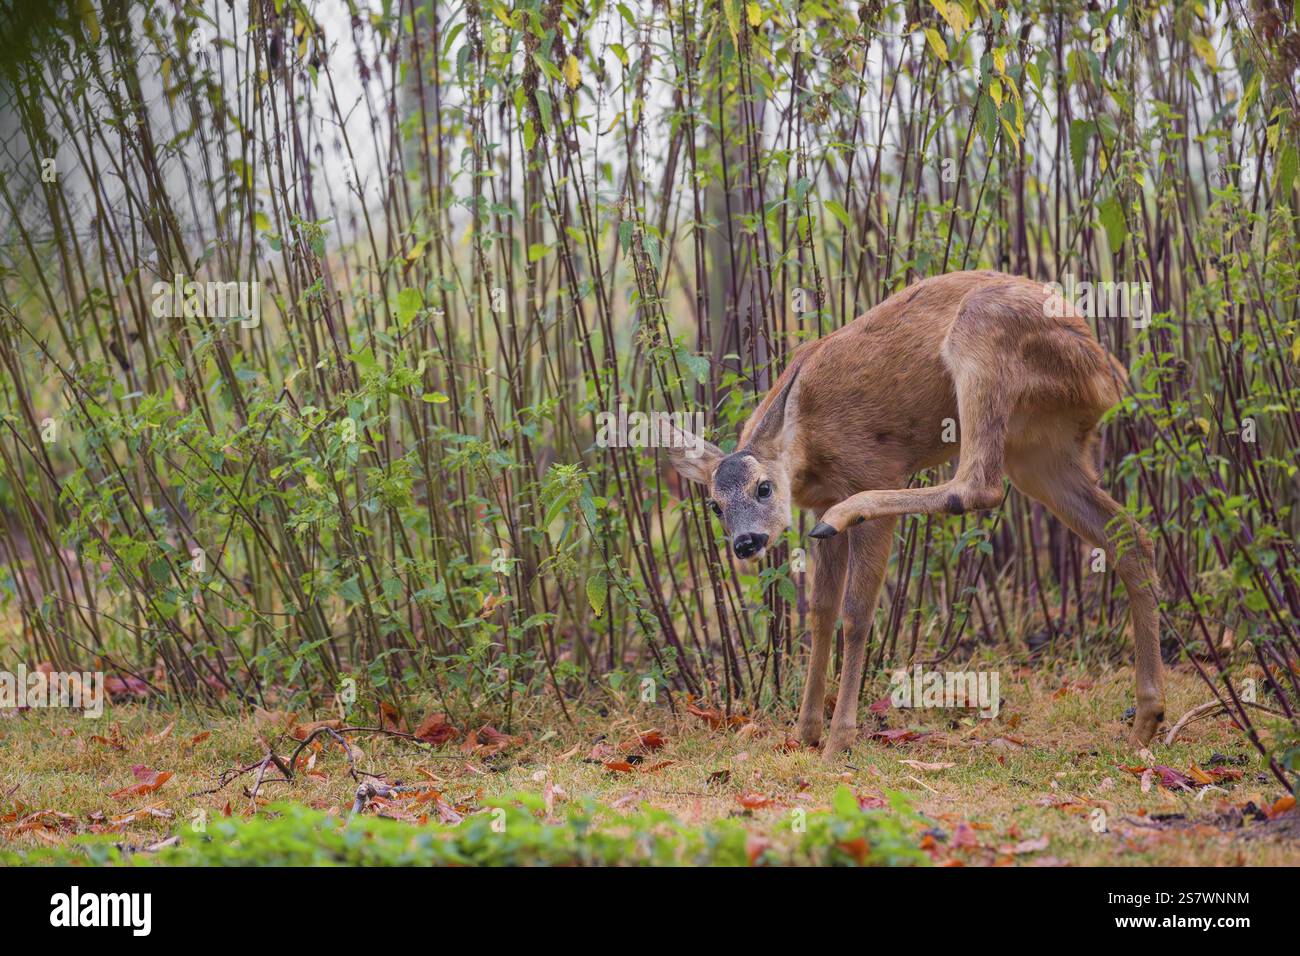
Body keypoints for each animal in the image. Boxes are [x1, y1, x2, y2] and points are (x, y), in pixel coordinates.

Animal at [668, 270, 1164, 761]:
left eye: (763, 487)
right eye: (714, 505)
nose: (745, 542)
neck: (807, 441)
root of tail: (1110, 374)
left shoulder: (868, 467)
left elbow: (856, 614)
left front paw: (837, 740)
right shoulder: (820, 502)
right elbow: (821, 612)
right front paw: (806, 732)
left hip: (984, 337)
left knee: (978, 483)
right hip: (1041, 451)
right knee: (1129, 537)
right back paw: (1145, 722)